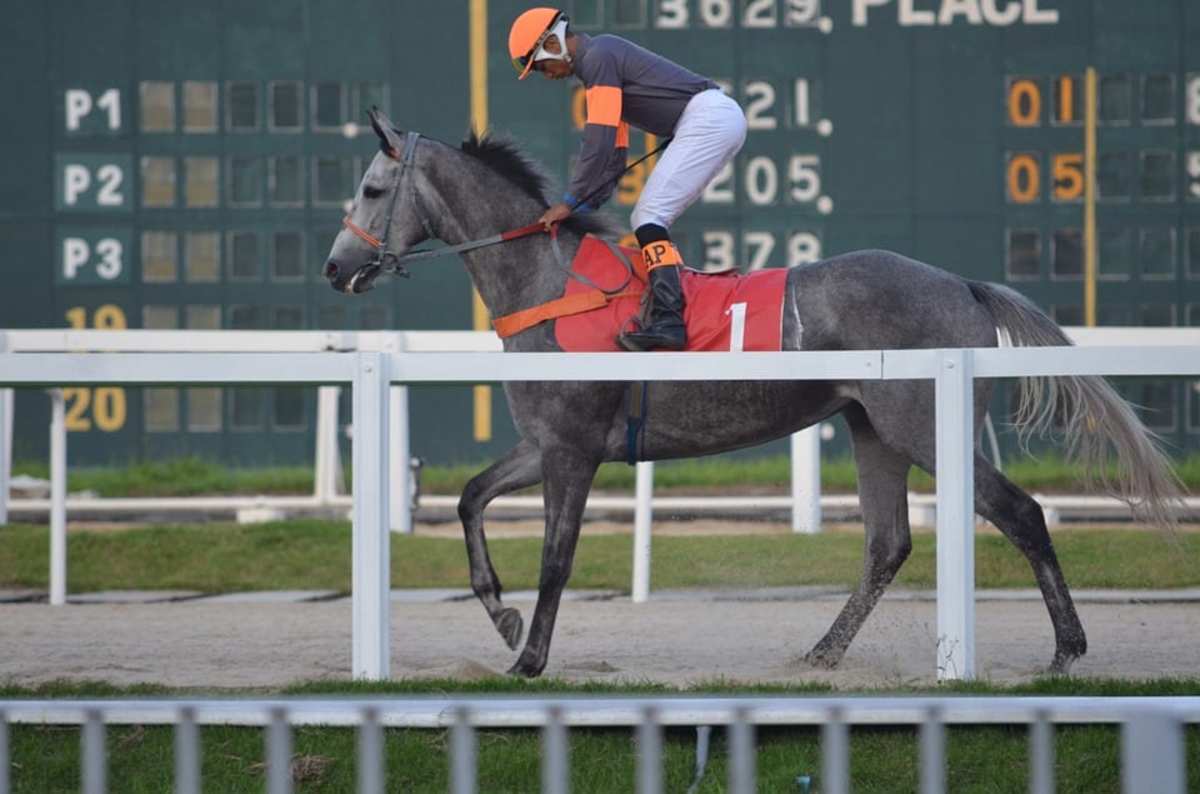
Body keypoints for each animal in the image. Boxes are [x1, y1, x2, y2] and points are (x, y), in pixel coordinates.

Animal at [323, 108, 1181, 678]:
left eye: (370, 188)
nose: (335, 269)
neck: (549, 284)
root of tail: (963, 285)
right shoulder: (545, 443)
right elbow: (470, 496)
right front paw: (500, 616)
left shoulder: (572, 449)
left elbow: (557, 557)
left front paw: (530, 656)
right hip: (872, 428)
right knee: (888, 542)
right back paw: (824, 651)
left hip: (923, 428)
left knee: (1020, 513)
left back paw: (1067, 649)